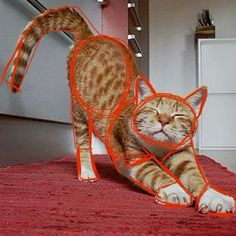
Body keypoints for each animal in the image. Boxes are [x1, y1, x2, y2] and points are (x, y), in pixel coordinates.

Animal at [3, 6, 234, 214]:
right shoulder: (138, 158)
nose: (163, 121)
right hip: (79, 111)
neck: (158, 148)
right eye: (153, 110)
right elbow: (159, 174)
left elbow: (196, 177)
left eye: (177, 115)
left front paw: (213, 196)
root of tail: (90, 36)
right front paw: (175, 189)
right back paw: (87, 171)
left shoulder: (182, 156)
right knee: (82, 142)